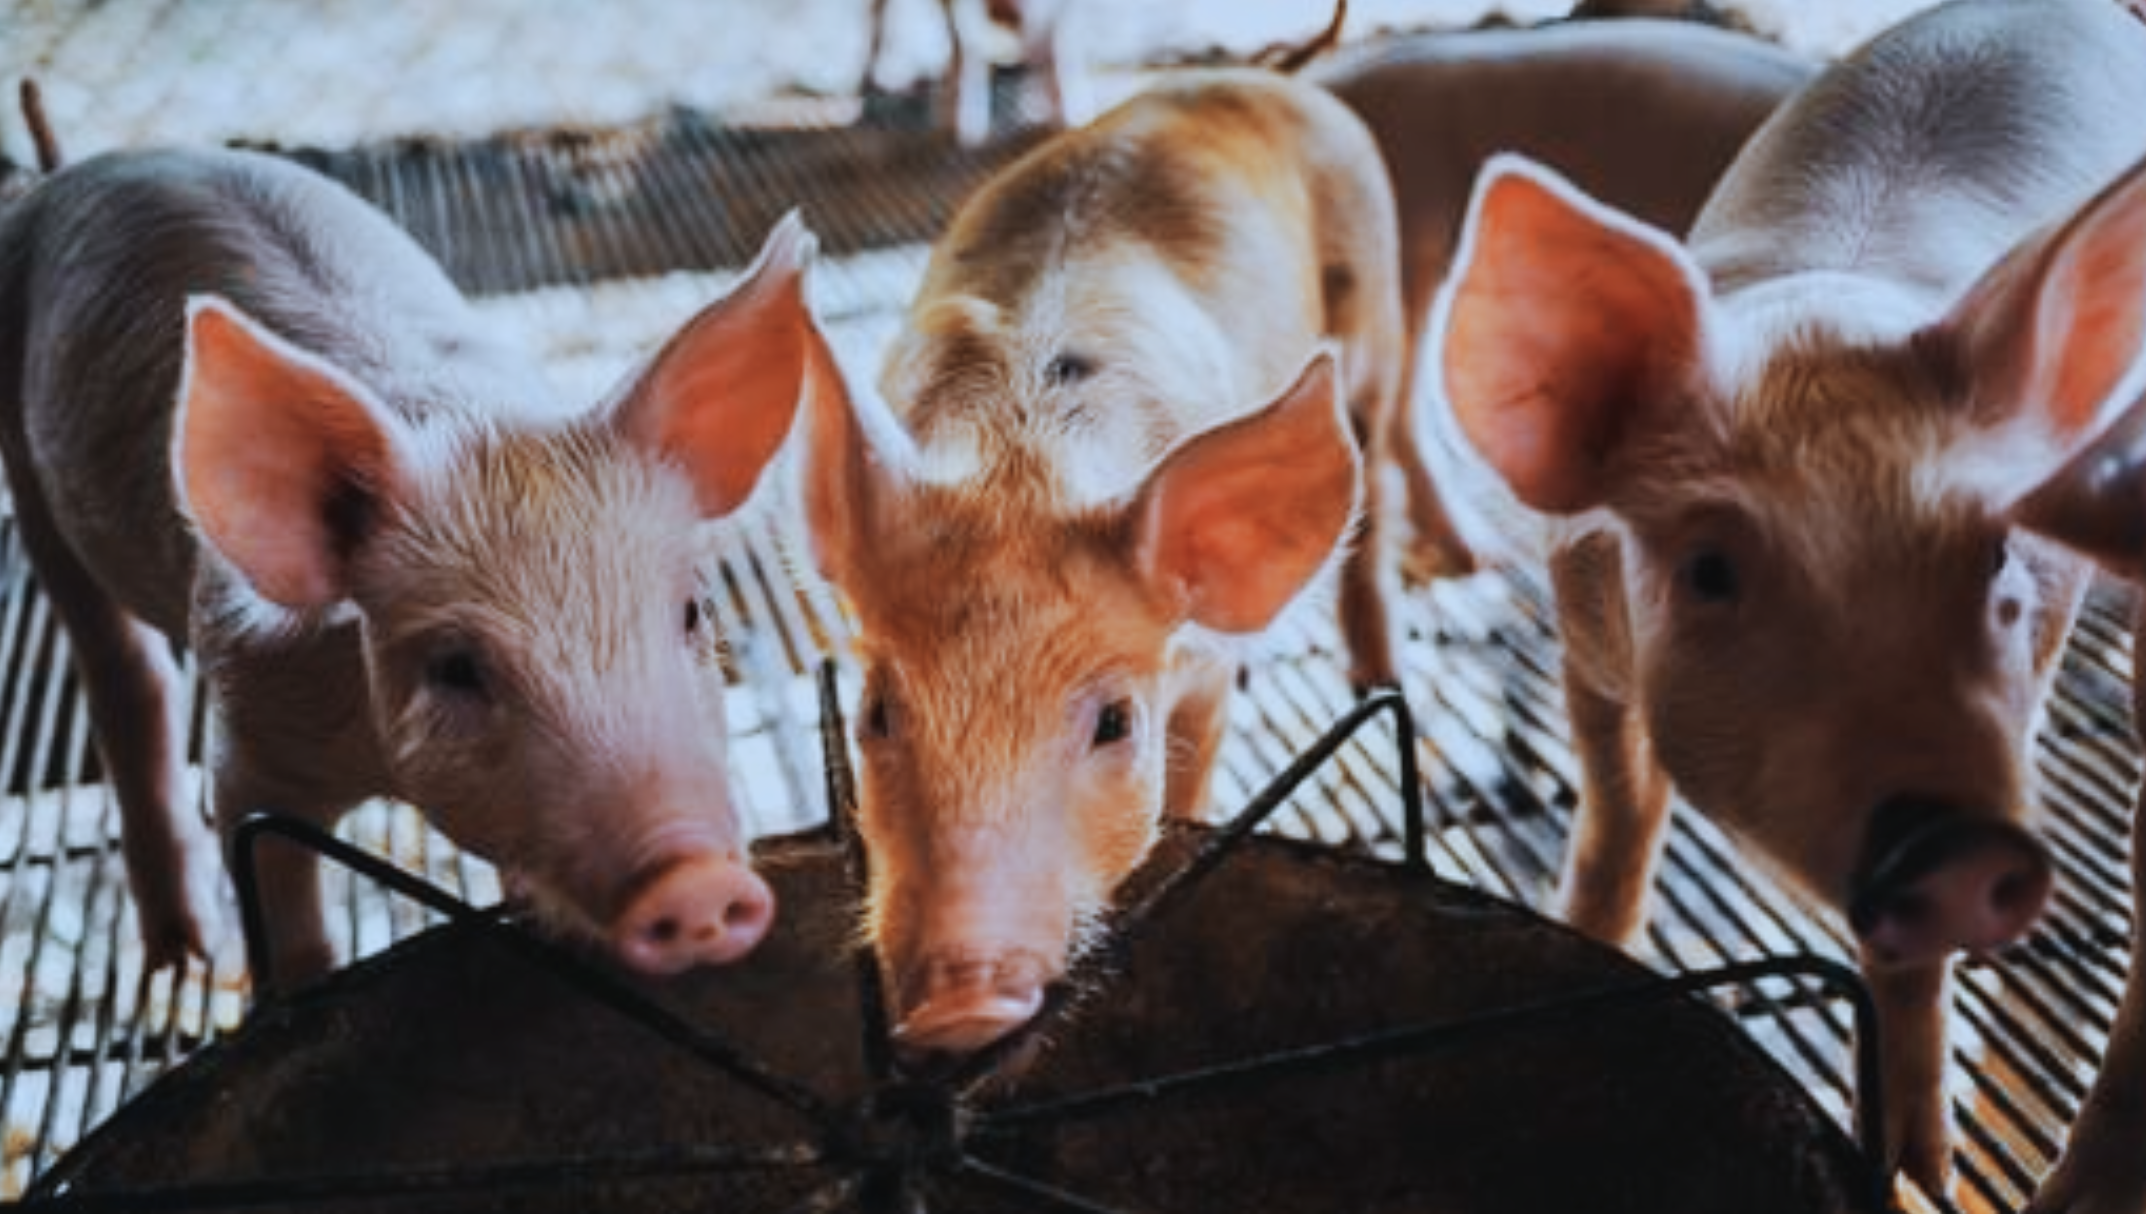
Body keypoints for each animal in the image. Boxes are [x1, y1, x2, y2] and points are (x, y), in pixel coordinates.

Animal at [0, 146, 826, 991]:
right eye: (456, 666)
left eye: (692, 611)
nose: (698, 884)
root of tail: (77, 170)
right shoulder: (246, 732)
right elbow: (285, 910)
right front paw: (298, 989)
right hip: (26, 461)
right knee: (124, 674)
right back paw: (182, 955)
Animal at [789, 70, 1391, 1055]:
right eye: (876, 714)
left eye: (1115, 724)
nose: (963, 1001)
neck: (1022, 465)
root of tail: (1265, 76)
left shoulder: (1205, 669)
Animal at [1430, 0, 2146, 1193]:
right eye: (1710, 570)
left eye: (1996, 553)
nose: (1959, 845)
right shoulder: (1588, 632)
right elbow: (1615, 812)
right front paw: (1588, 944)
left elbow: (1904, 966)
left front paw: (1918, 1171)